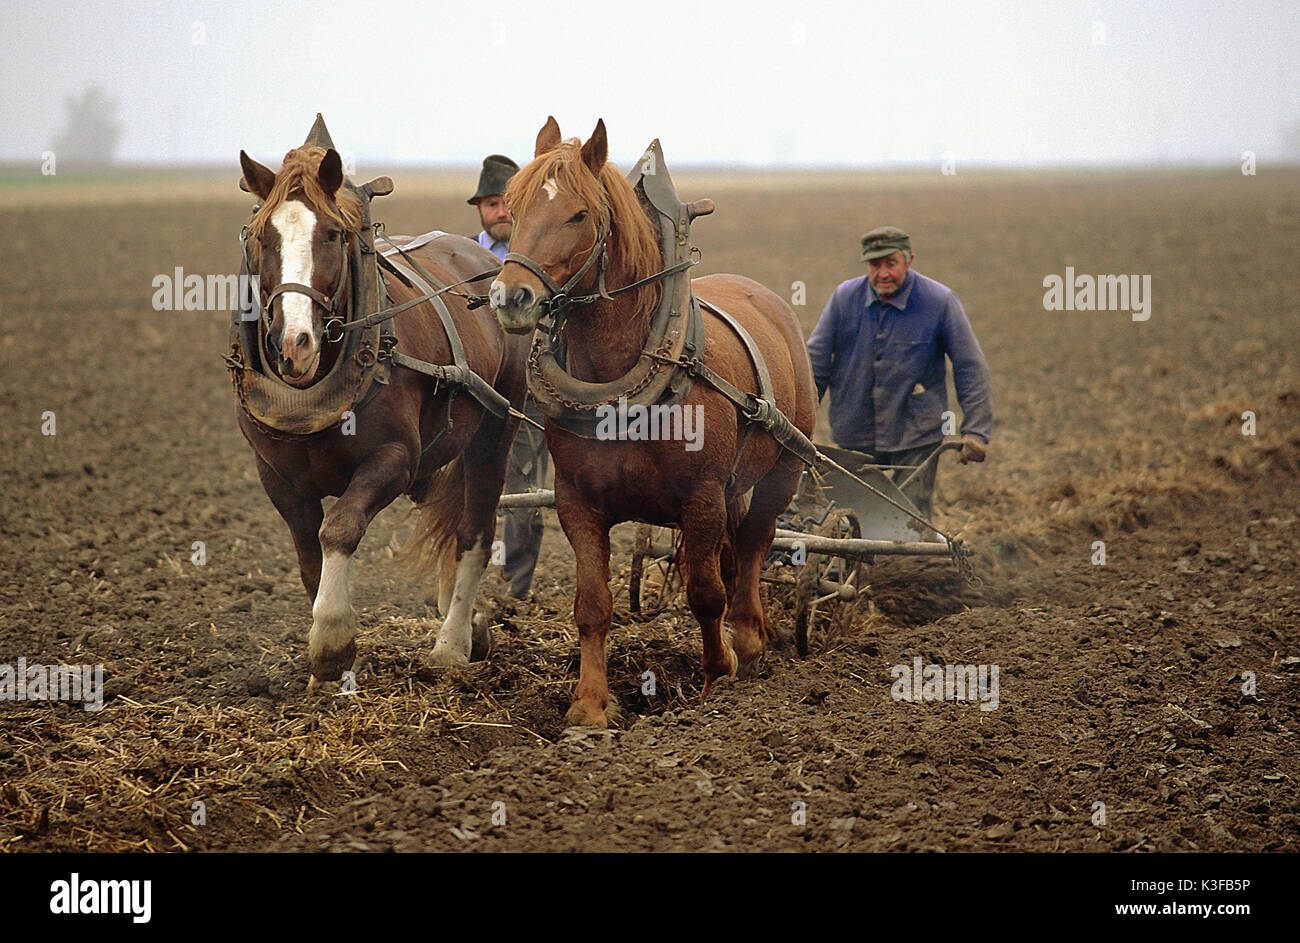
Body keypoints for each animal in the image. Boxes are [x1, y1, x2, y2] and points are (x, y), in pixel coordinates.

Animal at [234, 123, 529, 686]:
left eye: (332, 234)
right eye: (262, 236)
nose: (293, 344)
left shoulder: (393, 458)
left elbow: (339, 527)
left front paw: (333, 642)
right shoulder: (276, 477)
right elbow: (308, 554)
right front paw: (324, 667)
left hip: (495, 430)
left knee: (474, 533)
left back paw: (453, 643)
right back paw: (474, 628)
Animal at [490, 117, 817, 727]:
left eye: (578, 214)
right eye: (513, 208)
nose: (509, 296)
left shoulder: (702, 498)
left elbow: (705, 595)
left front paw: (717, 681)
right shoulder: (577, 502)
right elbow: (593, 604)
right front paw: (589, 707)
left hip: (781, 473)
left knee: (754, 547)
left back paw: (750, 641)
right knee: (738, 552)